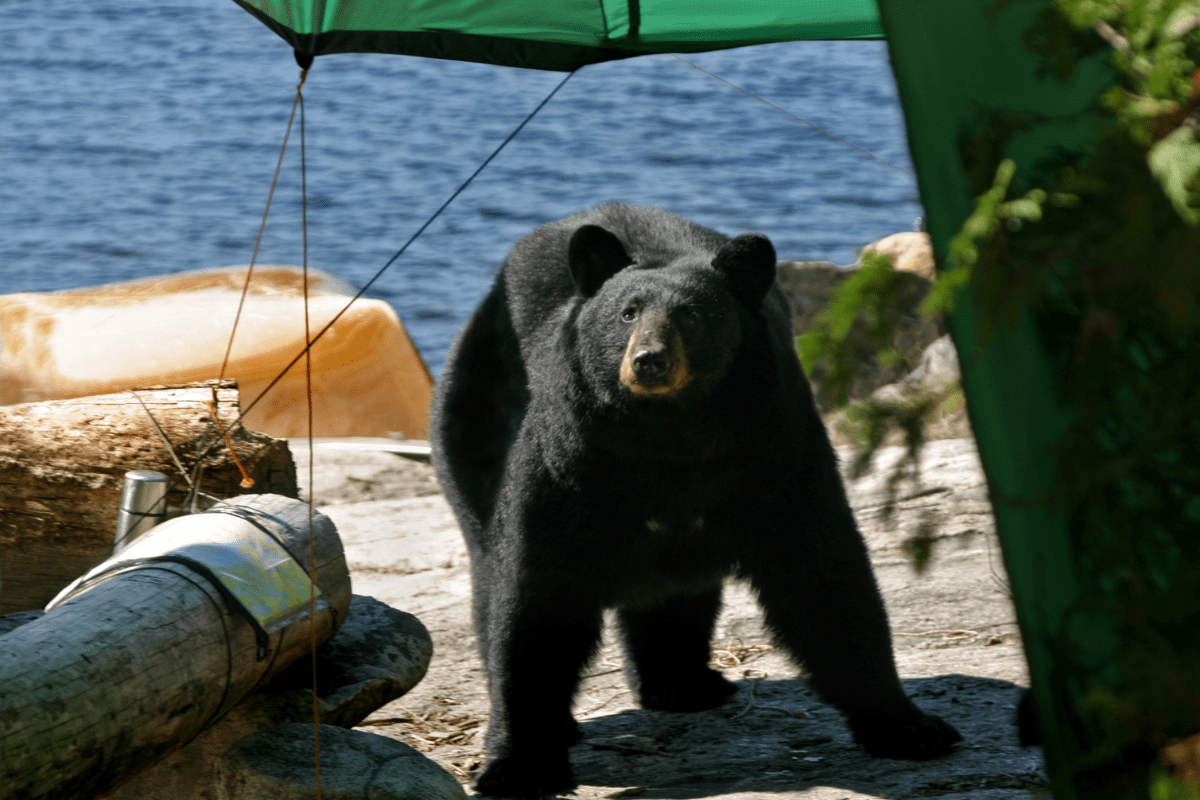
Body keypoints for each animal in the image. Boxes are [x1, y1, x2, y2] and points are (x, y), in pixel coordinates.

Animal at [430, 202, 962, 798]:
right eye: (627, 313)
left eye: (691, 315)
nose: (649, 361)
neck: (670, 432)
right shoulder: (570, 459)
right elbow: (537, 598)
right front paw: (517, 765)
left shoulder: (773, 447)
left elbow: (823, 576)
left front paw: (910, 727)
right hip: (478, 410)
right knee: (489, 569)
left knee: (677, 593)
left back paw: (683, 684)